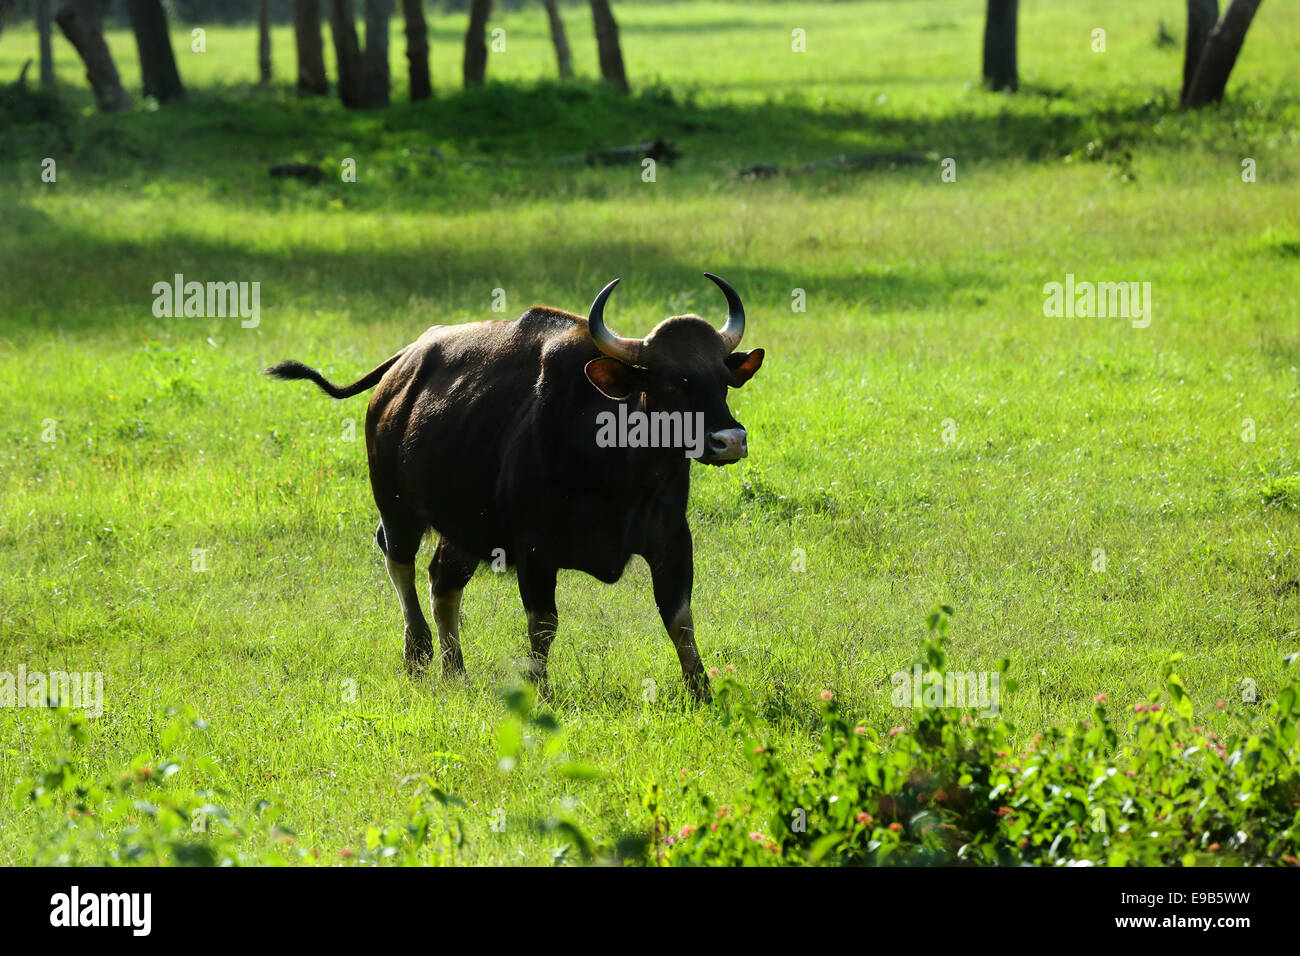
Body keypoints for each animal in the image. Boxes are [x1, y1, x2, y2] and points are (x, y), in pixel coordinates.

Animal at [264, 274, 764, 701]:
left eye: (723, 379)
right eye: (671, 381)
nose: (730, 440)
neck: (620, 473)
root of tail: (402, 366)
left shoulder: (673, 540)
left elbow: (679, 619)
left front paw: (700, 689)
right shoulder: (535, 550)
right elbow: (543, 624)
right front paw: (538, 688)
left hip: (465, 525)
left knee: (442, 579)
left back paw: (455, 670)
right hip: (397, 506)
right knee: (398, 560)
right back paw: (418, 655)